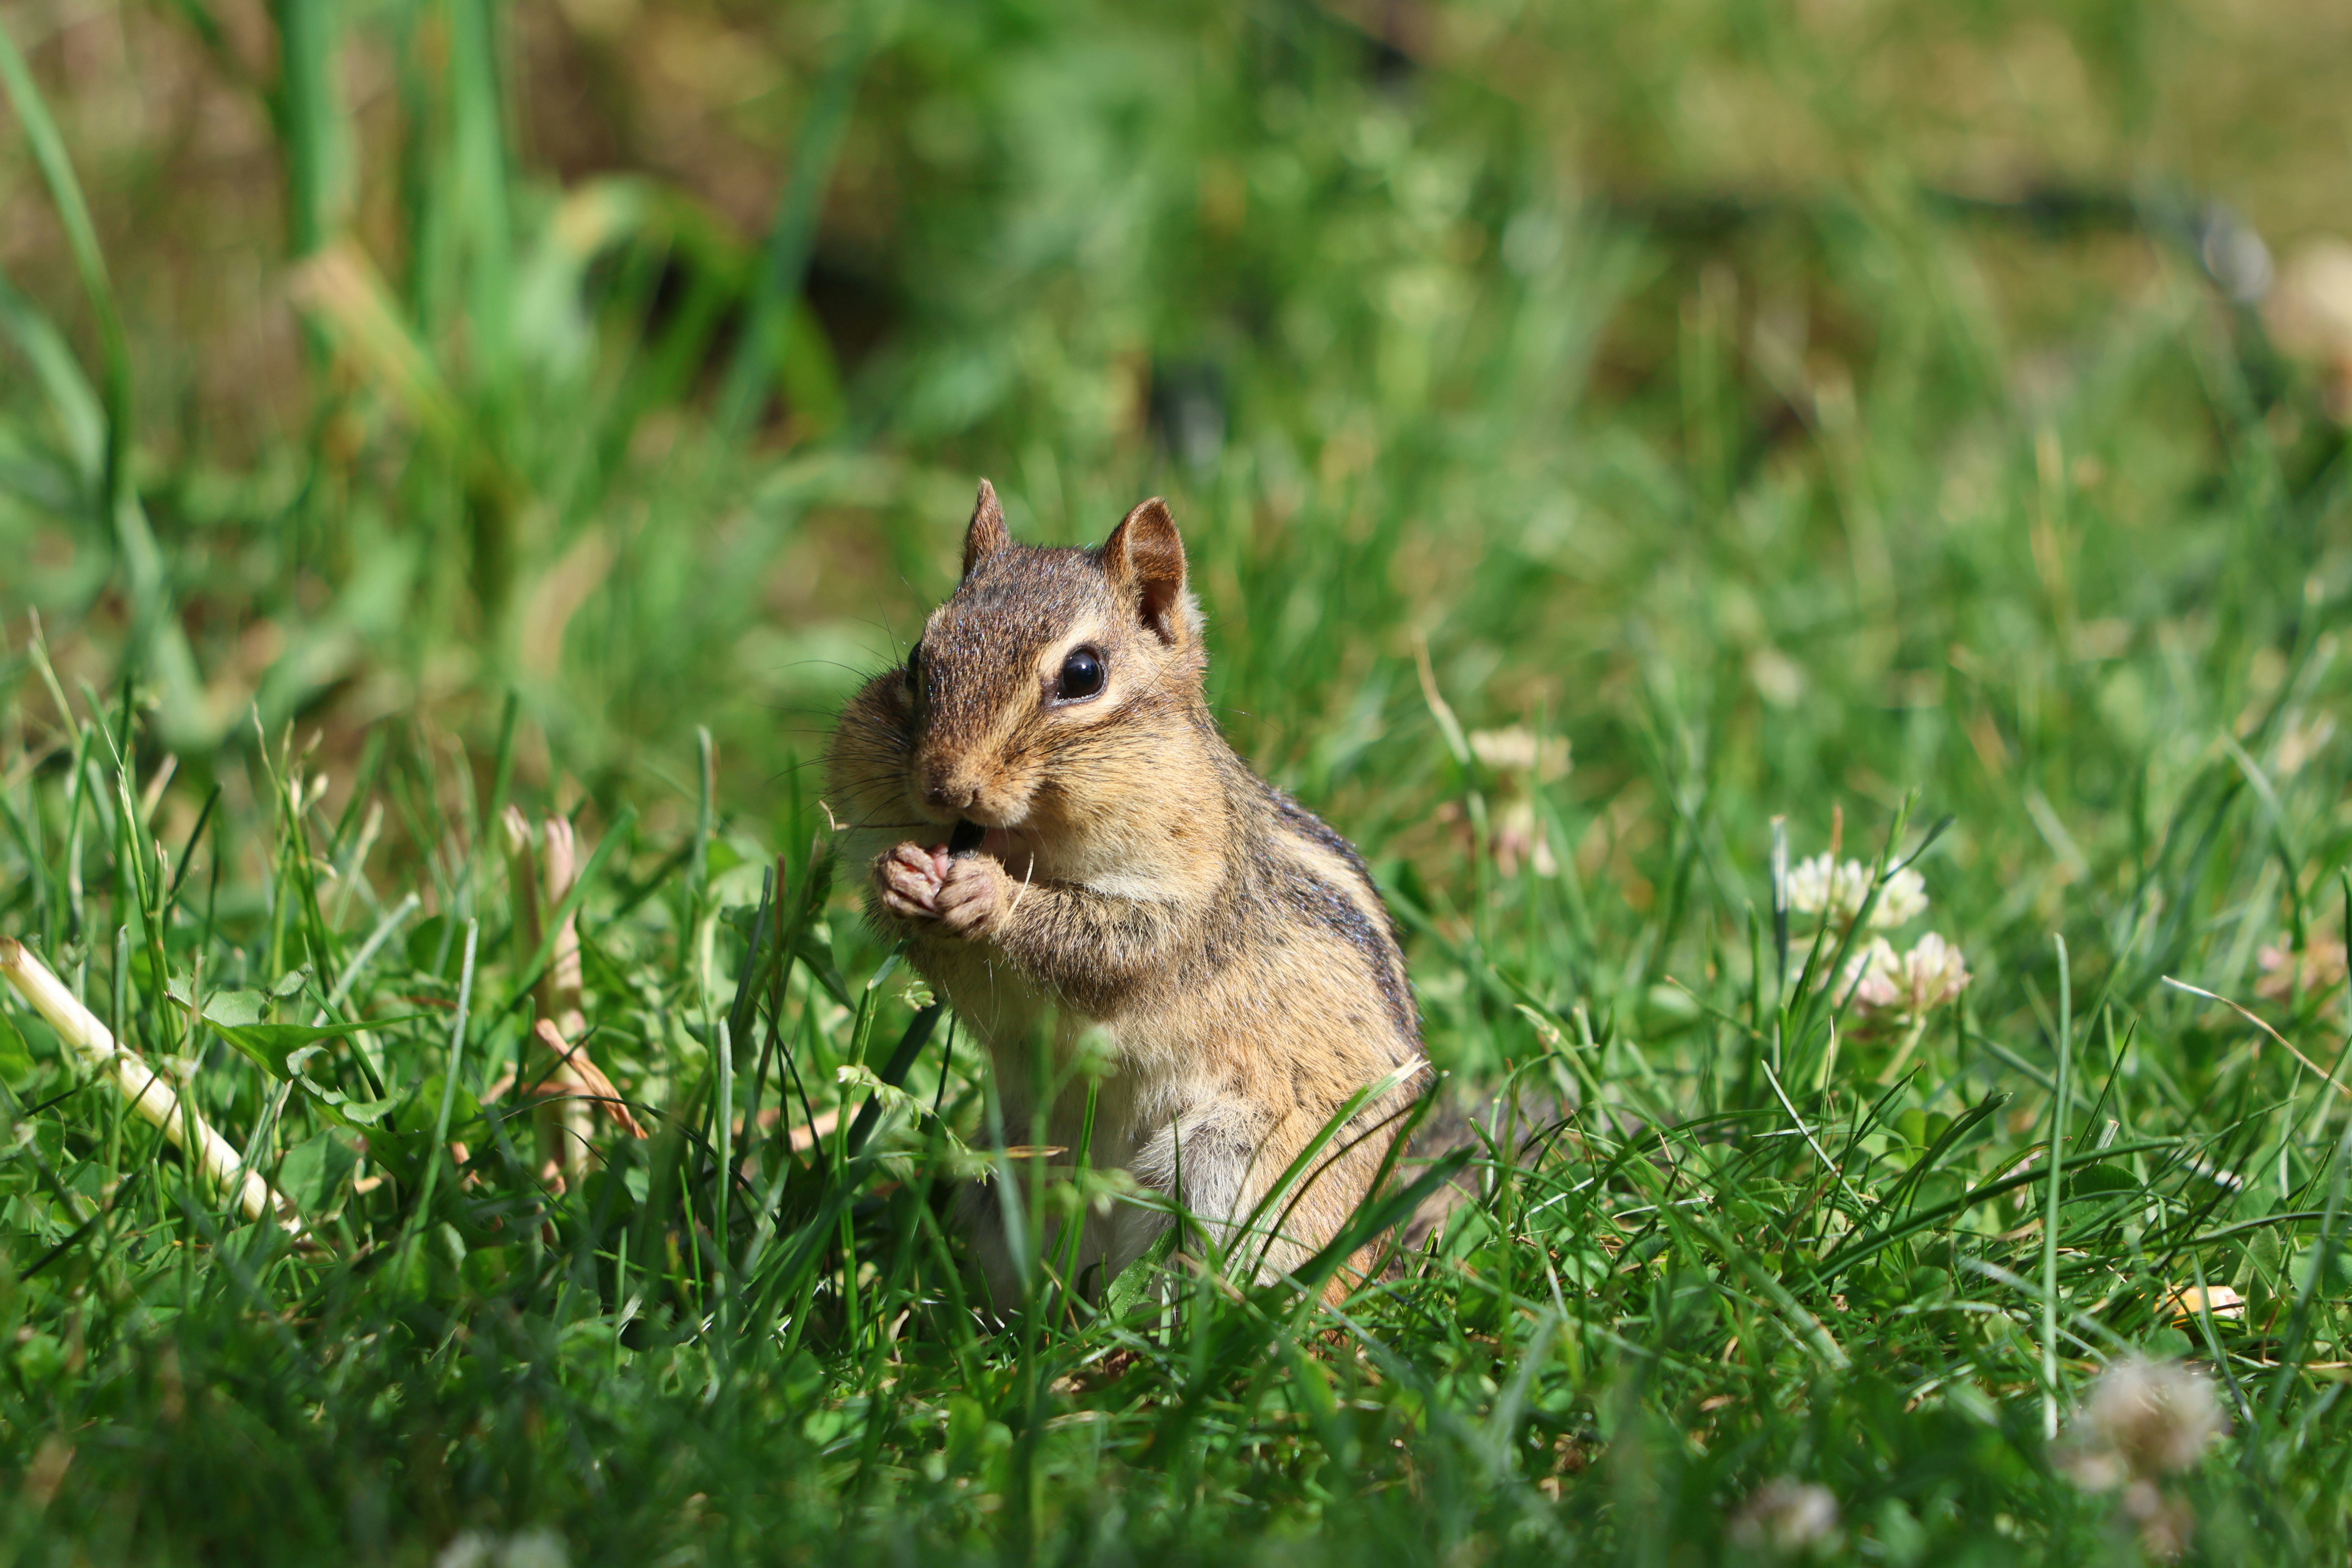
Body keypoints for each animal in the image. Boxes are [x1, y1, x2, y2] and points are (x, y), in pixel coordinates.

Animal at [826, 480, 1426, 1308]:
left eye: (1083, 674)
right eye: (919, 658)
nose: (945, 787)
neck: (1033, 845)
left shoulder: (1188, 906)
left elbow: (1113, 949)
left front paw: (987, 896)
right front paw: (900, 877)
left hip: (1236, 1173)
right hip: (1002, 1184)